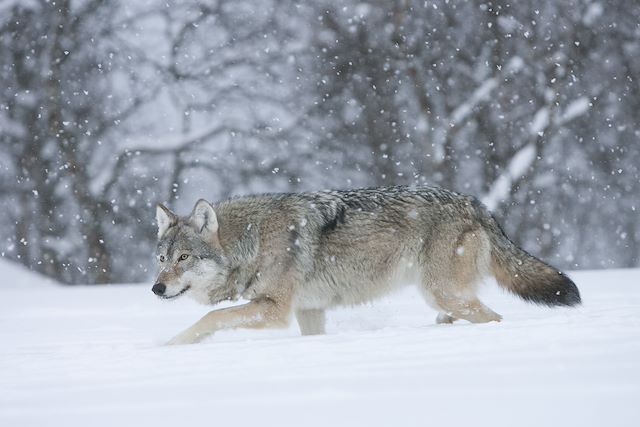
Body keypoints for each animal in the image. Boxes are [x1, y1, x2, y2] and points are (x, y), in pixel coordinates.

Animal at [153, 185, 580, 345]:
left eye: (184, 258)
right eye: (161, 259)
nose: (156, 288)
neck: (251, 240)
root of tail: (477, 205)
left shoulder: (274, 310)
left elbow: (209, 318)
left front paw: (170, 344)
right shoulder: (309, 310)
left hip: (442, 292)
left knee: (494, 318)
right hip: (442, 296)